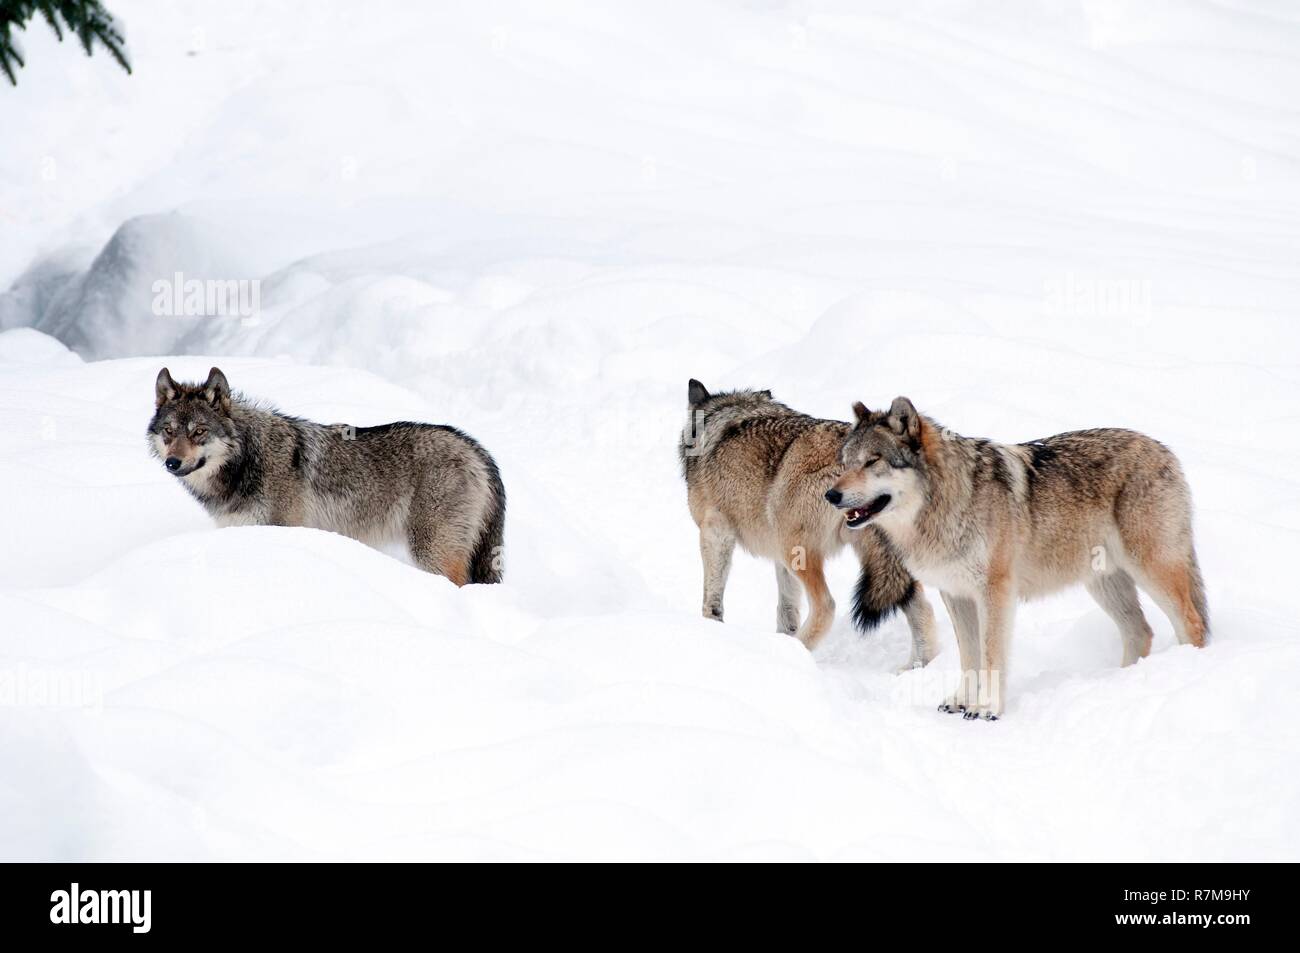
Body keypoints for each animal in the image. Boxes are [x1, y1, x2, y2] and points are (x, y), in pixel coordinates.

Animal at [148, 367, 505, 585]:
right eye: (169, 431)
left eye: (199, 432)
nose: (173, 463)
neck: (249, 459)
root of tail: (478, 449)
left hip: (431, 553)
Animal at [679, 380, 939, 667]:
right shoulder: (778, 559)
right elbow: (787, 612)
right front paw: (781, 637)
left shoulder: (715, 532)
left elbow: (712, 599)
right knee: (923, 607)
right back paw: (916, 667)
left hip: (795, 548)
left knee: (826, 606)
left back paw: (793, 653)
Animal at [827, 397, 1209, 719]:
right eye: (845, 464)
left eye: (872, 461)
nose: (831, 495)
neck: (948, 503)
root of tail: (1164, 450)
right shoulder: (956, 595)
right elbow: (969, 656)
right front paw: (961, 700)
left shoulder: (995, 592)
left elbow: (991, 654)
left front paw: (987, 709)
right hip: (1103, 583)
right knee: (1140, 631)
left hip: (1151, 571)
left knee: (1192, 623)